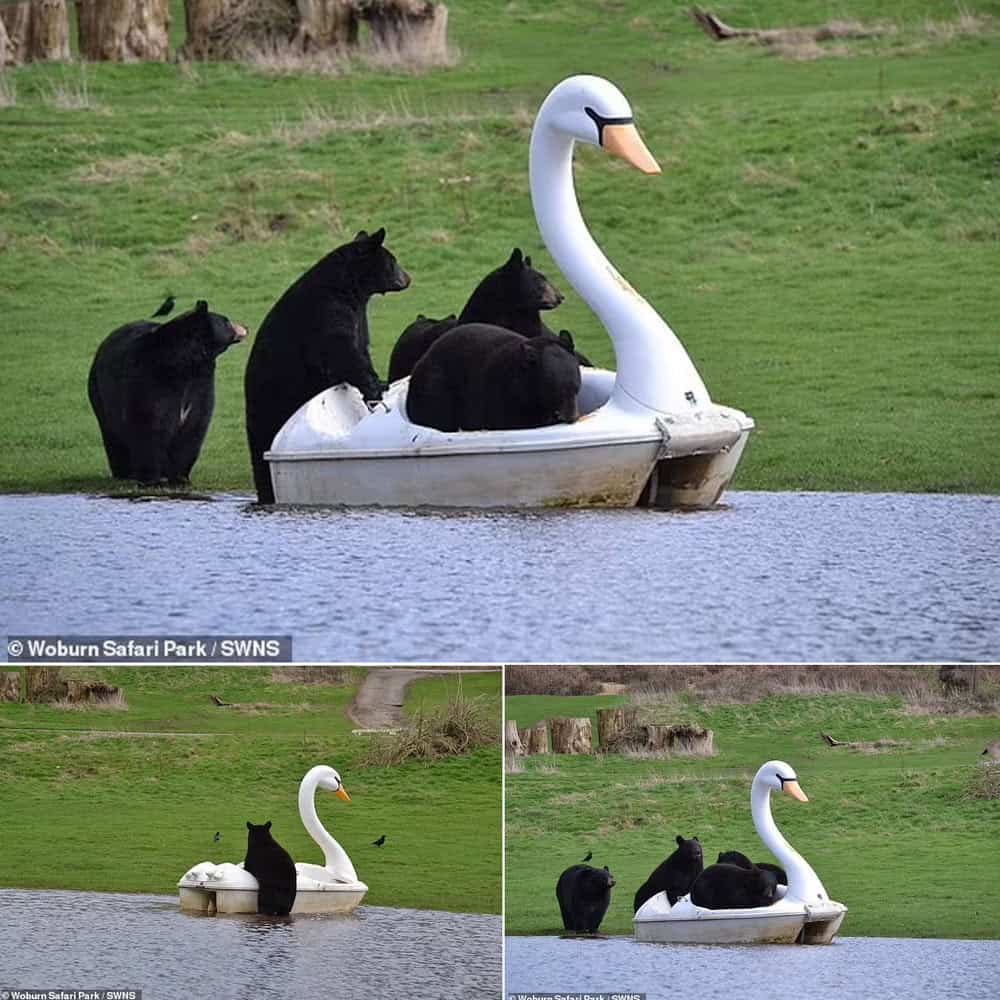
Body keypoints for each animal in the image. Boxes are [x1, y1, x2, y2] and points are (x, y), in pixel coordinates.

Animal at [87, 299, 247, 486]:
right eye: (226, 321)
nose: (245, 327)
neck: (186, 365)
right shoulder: (151, 382)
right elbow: (148, 425)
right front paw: (151, 479)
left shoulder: (200, 387)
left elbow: (193, 427)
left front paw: (180, 477)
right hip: (100, 393)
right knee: (112, 434)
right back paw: (124, 472)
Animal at [244, 227, 411, 503]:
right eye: (393, 260)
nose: (408, 278)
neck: (350, 288)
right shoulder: (326, 311)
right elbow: (339, 351)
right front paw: (373, 388)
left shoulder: (358, 316)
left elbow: (361, 347)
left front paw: (380, 381)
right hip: (269, 408)